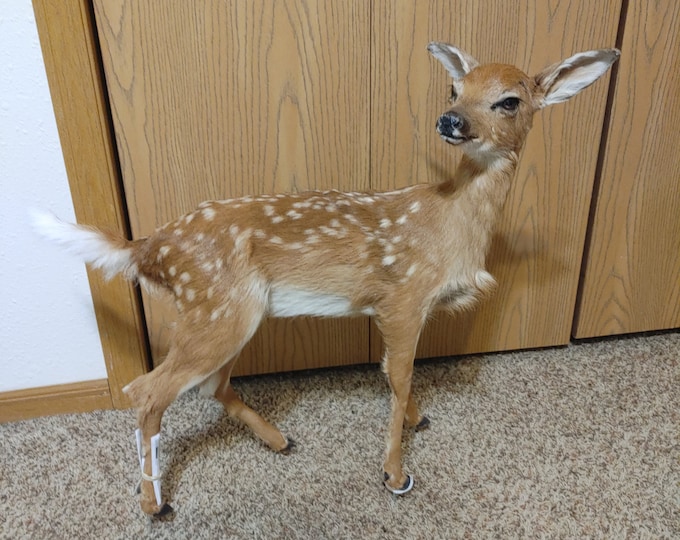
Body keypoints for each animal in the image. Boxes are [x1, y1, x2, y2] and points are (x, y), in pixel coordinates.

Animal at [33, 42, 619, 516]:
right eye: (455, 88)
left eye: (509, 100)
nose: (449, 120)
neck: (448, 222)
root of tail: (147, 247)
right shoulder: (402, 298)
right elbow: (398, 375)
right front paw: (396, 473)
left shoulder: (404, 305)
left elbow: (400, 379)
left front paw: (417, 422)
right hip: (218, 307)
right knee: (147, 390)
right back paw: (154, 503)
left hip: (227, 312)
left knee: (208, 384)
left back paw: (279, 440)